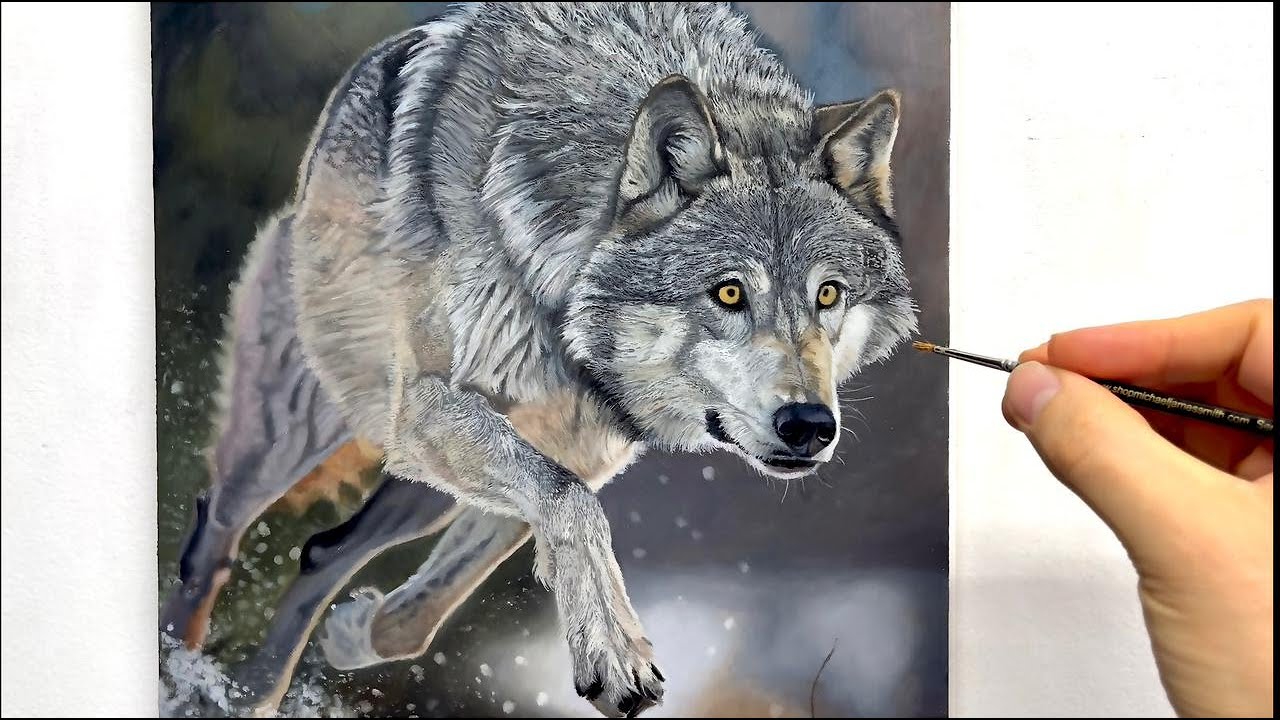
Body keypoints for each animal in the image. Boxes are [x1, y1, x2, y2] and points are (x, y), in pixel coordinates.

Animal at [159, 2, 917, 717]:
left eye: (828, 294)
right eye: (729, 292)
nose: (809, 425)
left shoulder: (570, 450)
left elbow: (427, 612)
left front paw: (353, 635)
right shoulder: (440, 409)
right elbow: (572, 508)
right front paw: (618, 657)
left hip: (418, 484)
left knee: (322, 551)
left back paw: (257, 690)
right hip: (302, 427)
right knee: (213, 534)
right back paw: (179, 670)